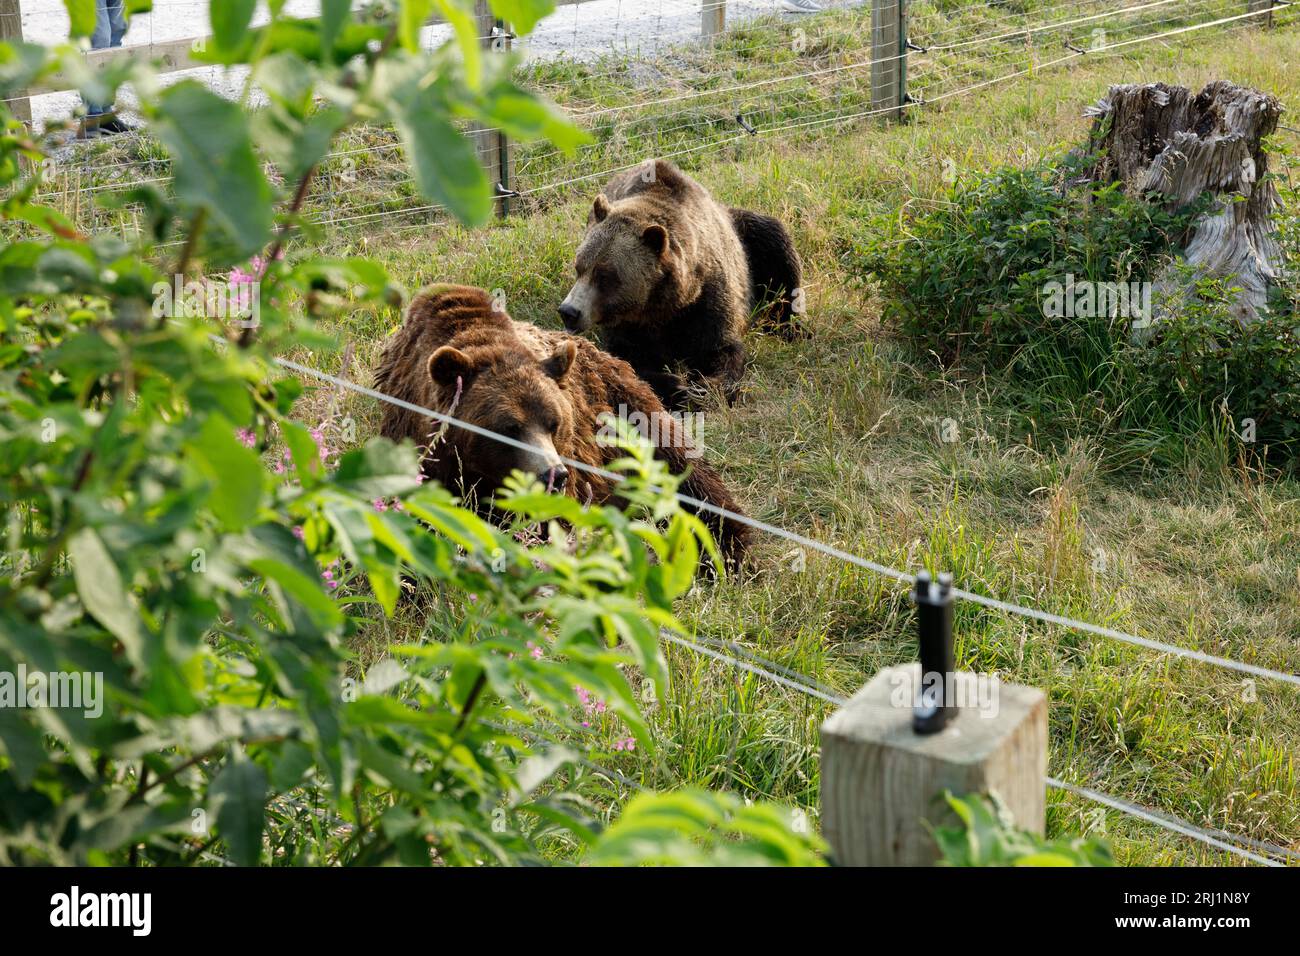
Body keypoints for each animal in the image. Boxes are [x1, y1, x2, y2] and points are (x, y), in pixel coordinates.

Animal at [373, 284, 752, 567]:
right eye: (508, 427)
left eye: (553, 422)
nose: (552, 475)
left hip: (624, 408)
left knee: (681, 466)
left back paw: (728, 545)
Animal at [558, 159, 803, 410]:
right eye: (579, 267)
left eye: (605, 275)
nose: (569, 311)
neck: (662, 303)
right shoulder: (629, 322)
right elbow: (628, 358)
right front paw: (676, 384)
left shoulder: (706, 296)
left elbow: (720, 348)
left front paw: (703, 387)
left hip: (748, 237)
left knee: (777, 246)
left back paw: (792, 328)